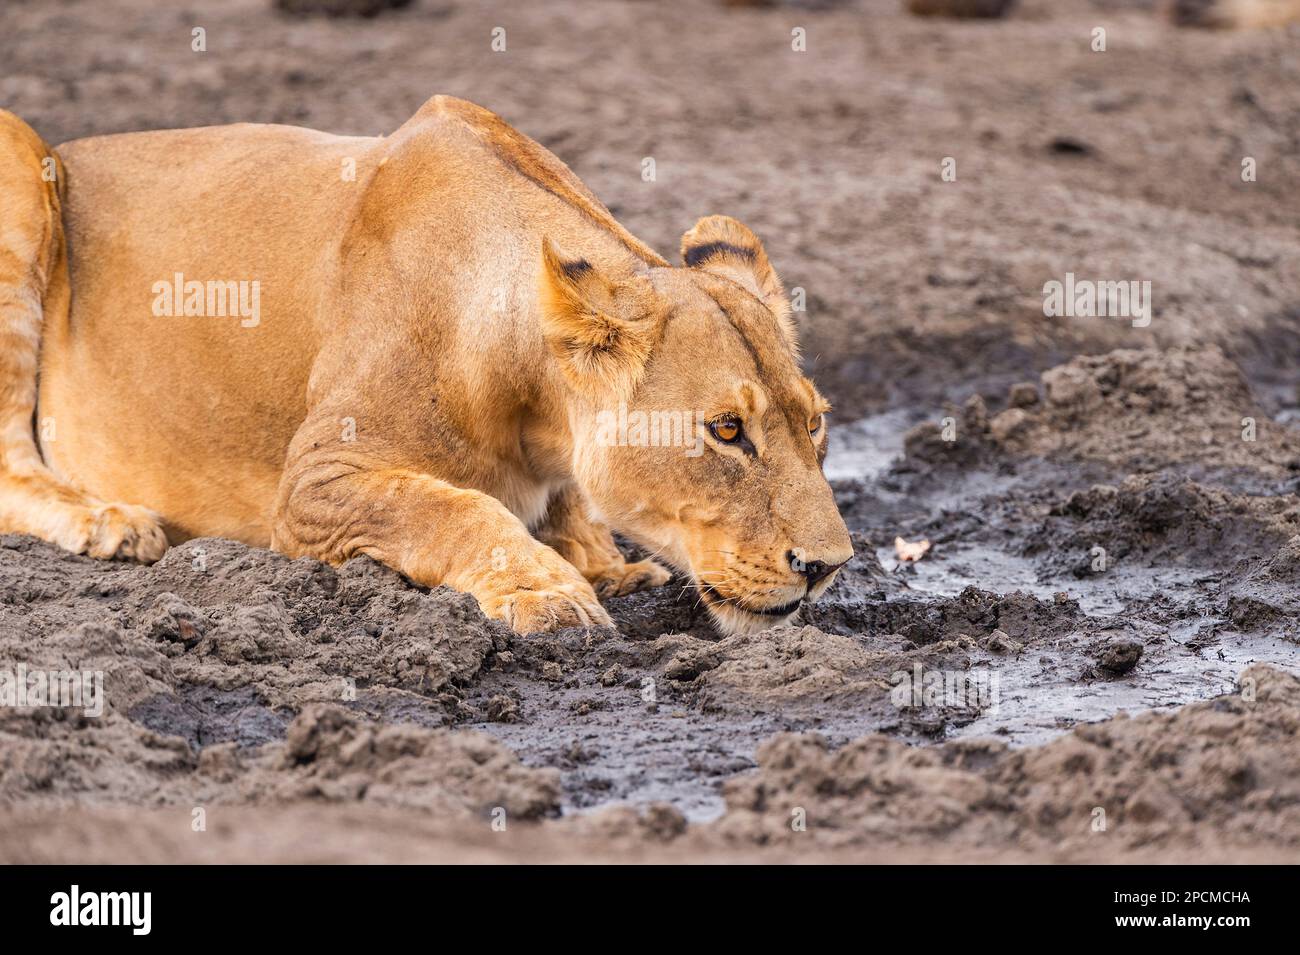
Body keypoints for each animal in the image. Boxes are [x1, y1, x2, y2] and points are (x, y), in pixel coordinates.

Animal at [0, 95, 852, 636]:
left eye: (815, 424)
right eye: (726, 430)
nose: (828, 566)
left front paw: (603, 563)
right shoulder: (312, 484)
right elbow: (452, 507)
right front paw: (552, 589)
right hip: (20, 163)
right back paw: (110, 521)